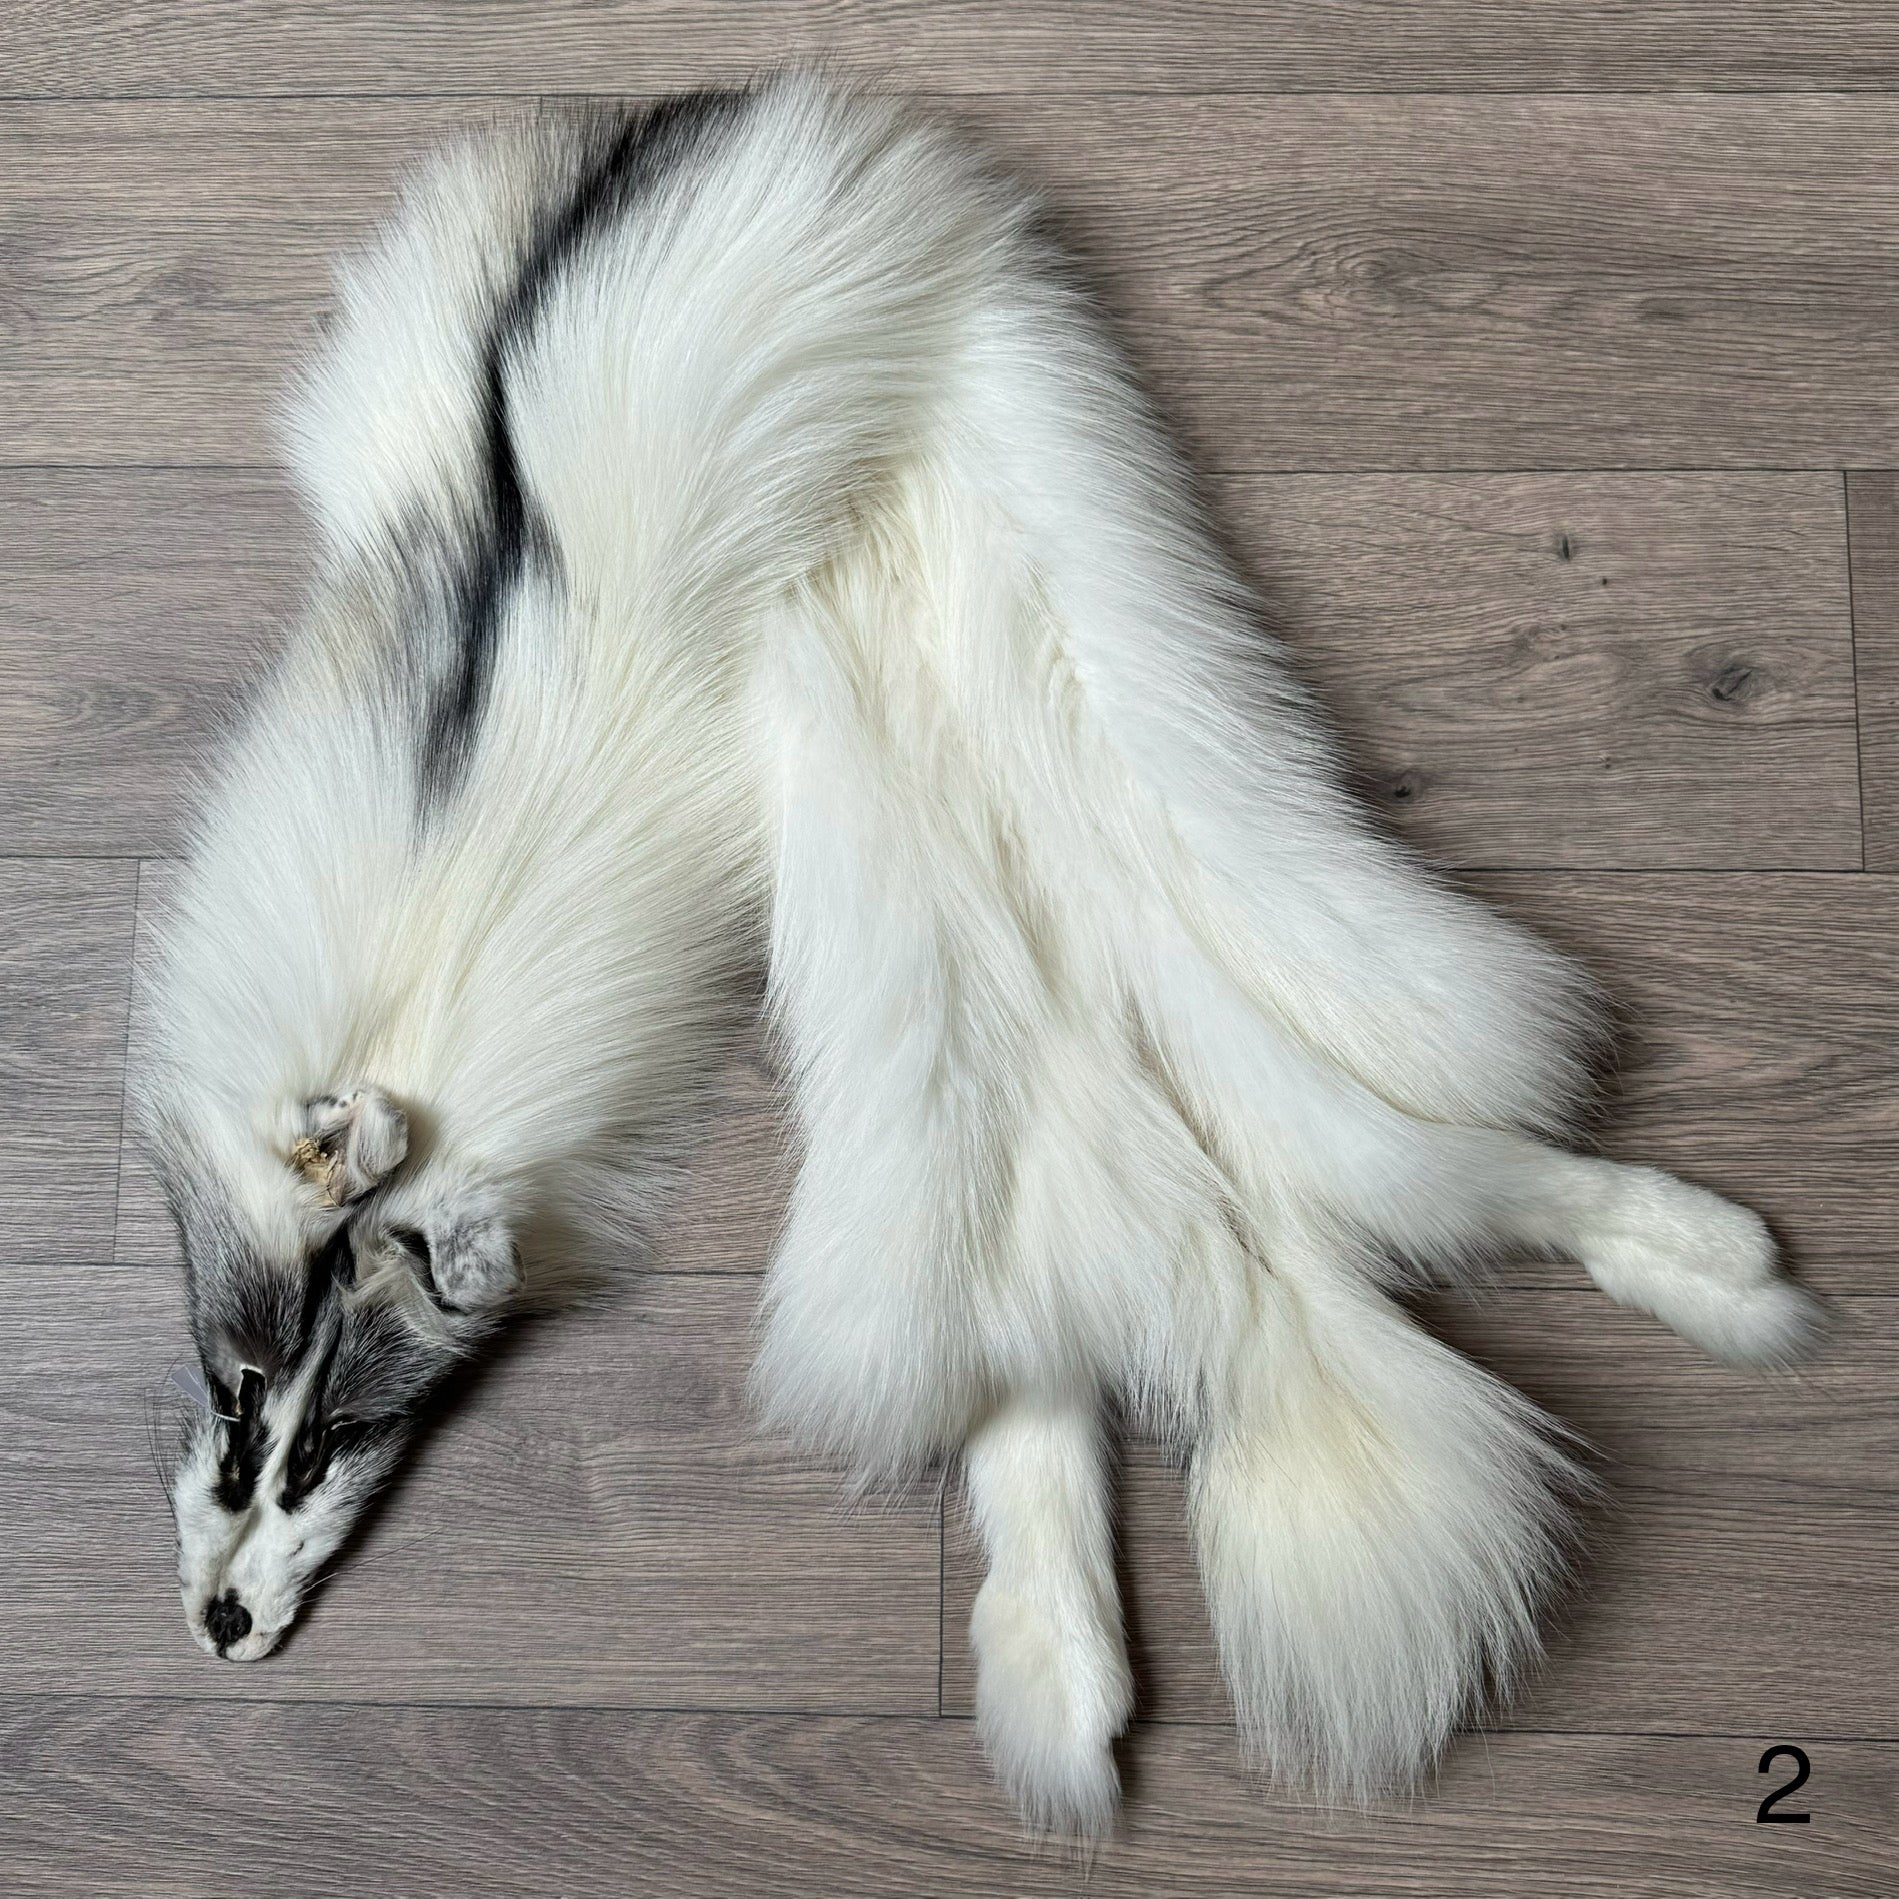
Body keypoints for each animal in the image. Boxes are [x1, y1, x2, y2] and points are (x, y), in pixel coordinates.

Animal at [134, 77, 1820, 1834]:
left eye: (337, 1440)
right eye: (236, 1413)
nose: (225, 1622)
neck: (415, 995)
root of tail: (683, 109)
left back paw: (1708, 1256)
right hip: (1012, 1069)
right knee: (1158, 1311)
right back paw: (1078, 1680)